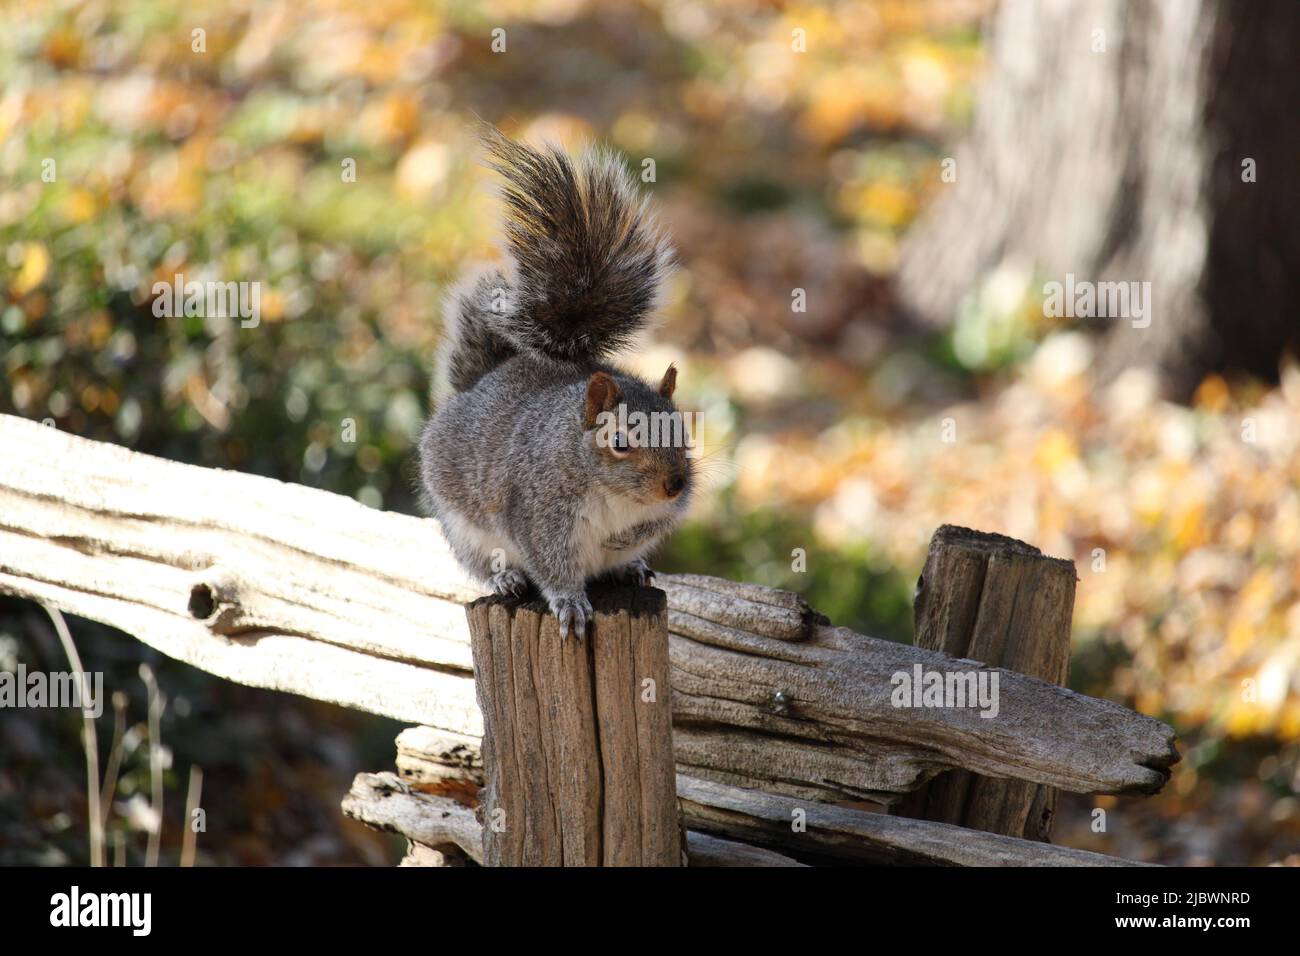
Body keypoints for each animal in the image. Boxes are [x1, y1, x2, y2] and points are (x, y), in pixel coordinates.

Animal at [418, 125, 692, 639]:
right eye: (619, 442)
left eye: (683, 432)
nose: (674, 485)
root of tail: (480, 382)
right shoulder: (539, 514)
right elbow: (553, 566)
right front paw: (569, 604)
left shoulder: (668, 511)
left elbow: (646, 527)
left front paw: (625, 543)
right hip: (464, 526)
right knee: (482, 562)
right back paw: (506, 579)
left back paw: (628, 566)